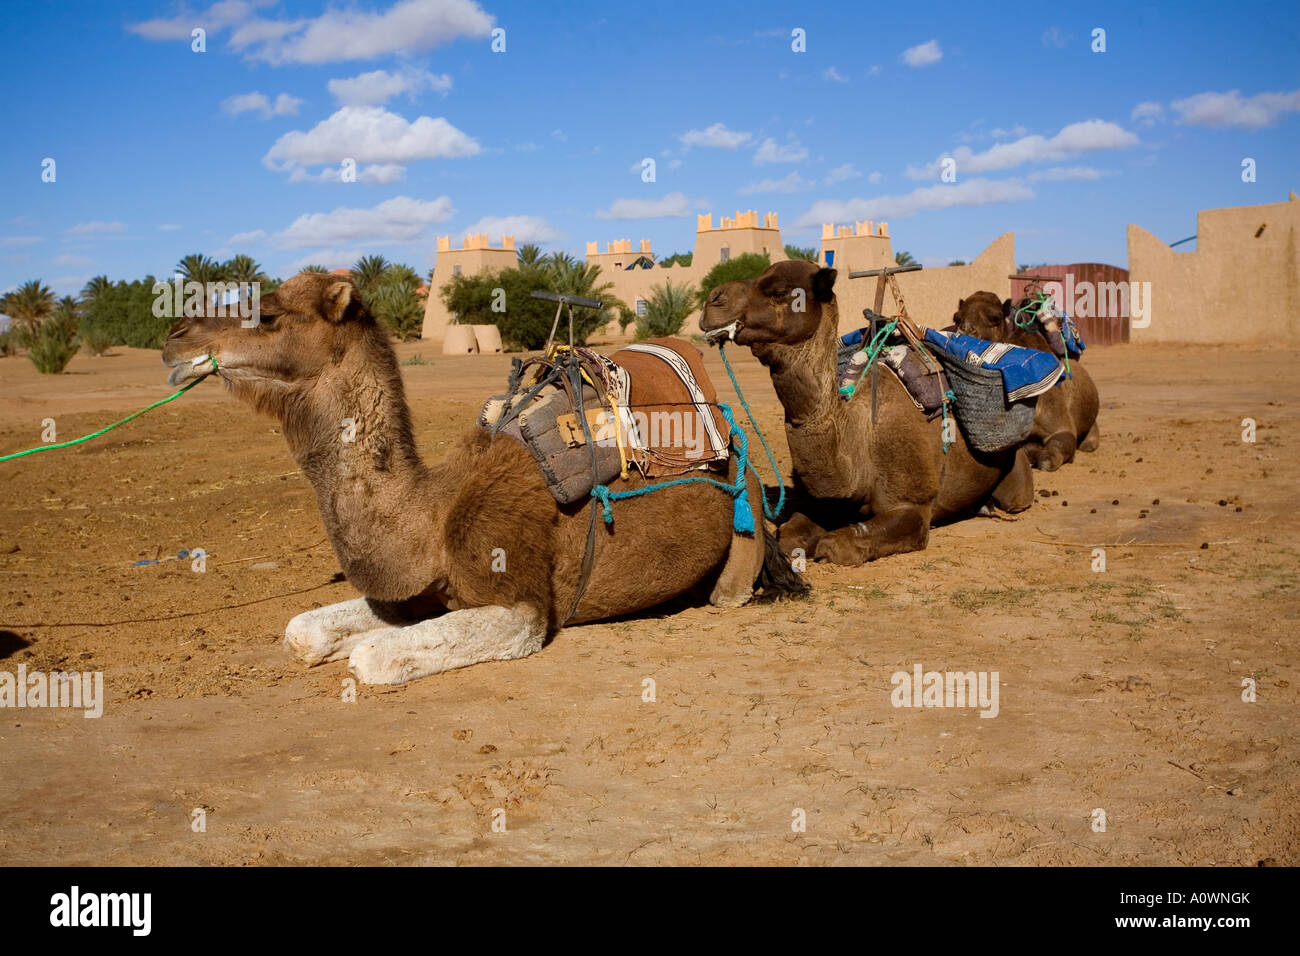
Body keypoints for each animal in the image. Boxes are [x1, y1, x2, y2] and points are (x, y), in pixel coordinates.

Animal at [161, 272, 803, 685]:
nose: (174, 338)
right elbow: (303, 631)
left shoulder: (519, 601)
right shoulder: (422, 589)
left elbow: (371, 659)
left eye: (267, 314)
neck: (432, 514)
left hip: (741, 536)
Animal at [698, 260, 1034, 567]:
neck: (861, 437)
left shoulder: (913, 505)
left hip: (1014, 471)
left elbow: (838, 545)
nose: (713, 299)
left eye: (780, 291)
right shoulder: (824, 502)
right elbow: (791, 535)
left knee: (1016, 497)